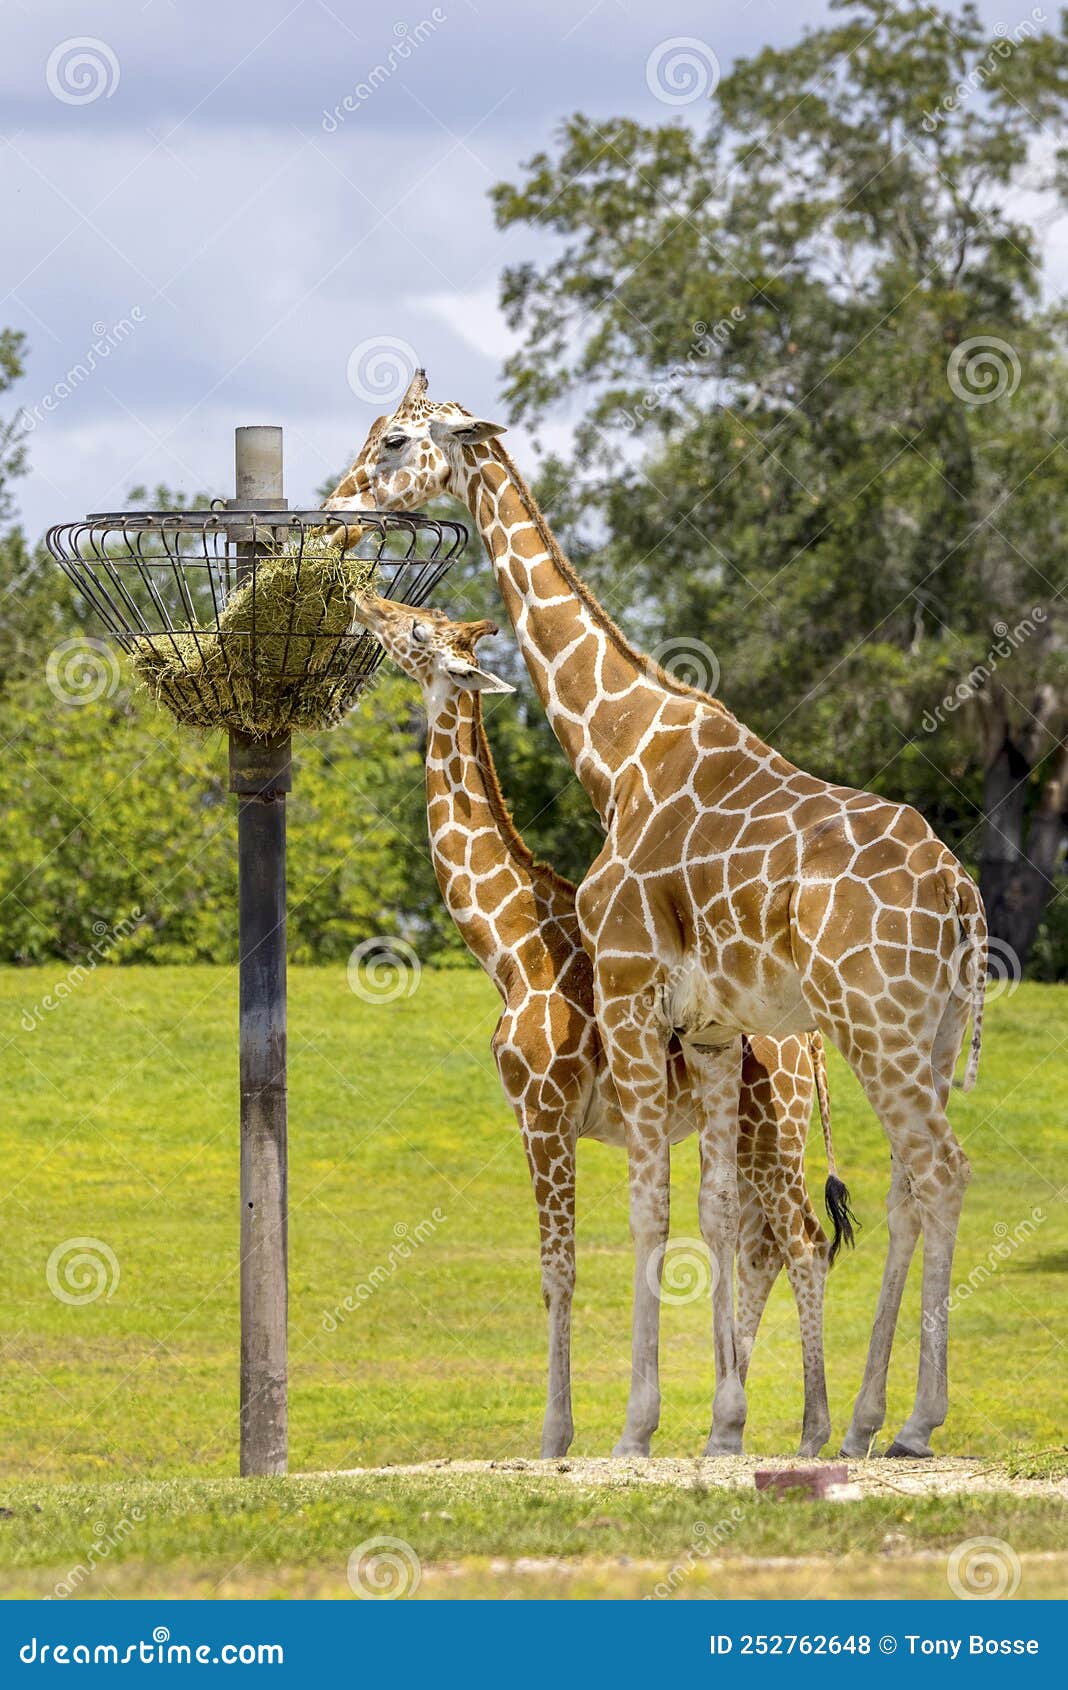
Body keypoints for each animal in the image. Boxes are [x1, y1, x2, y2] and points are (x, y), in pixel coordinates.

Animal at [349, 587, 855, 1457]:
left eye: (416, 626)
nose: (362, 599)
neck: (509, 946)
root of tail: (813, 1041)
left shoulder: (543, 1110)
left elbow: (559, 1269)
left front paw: (556, 1435)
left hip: (780, 1125)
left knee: (803, 1241)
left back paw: (809, 1432)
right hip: (755, 1130)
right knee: (763, 1247)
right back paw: (732, 1426)